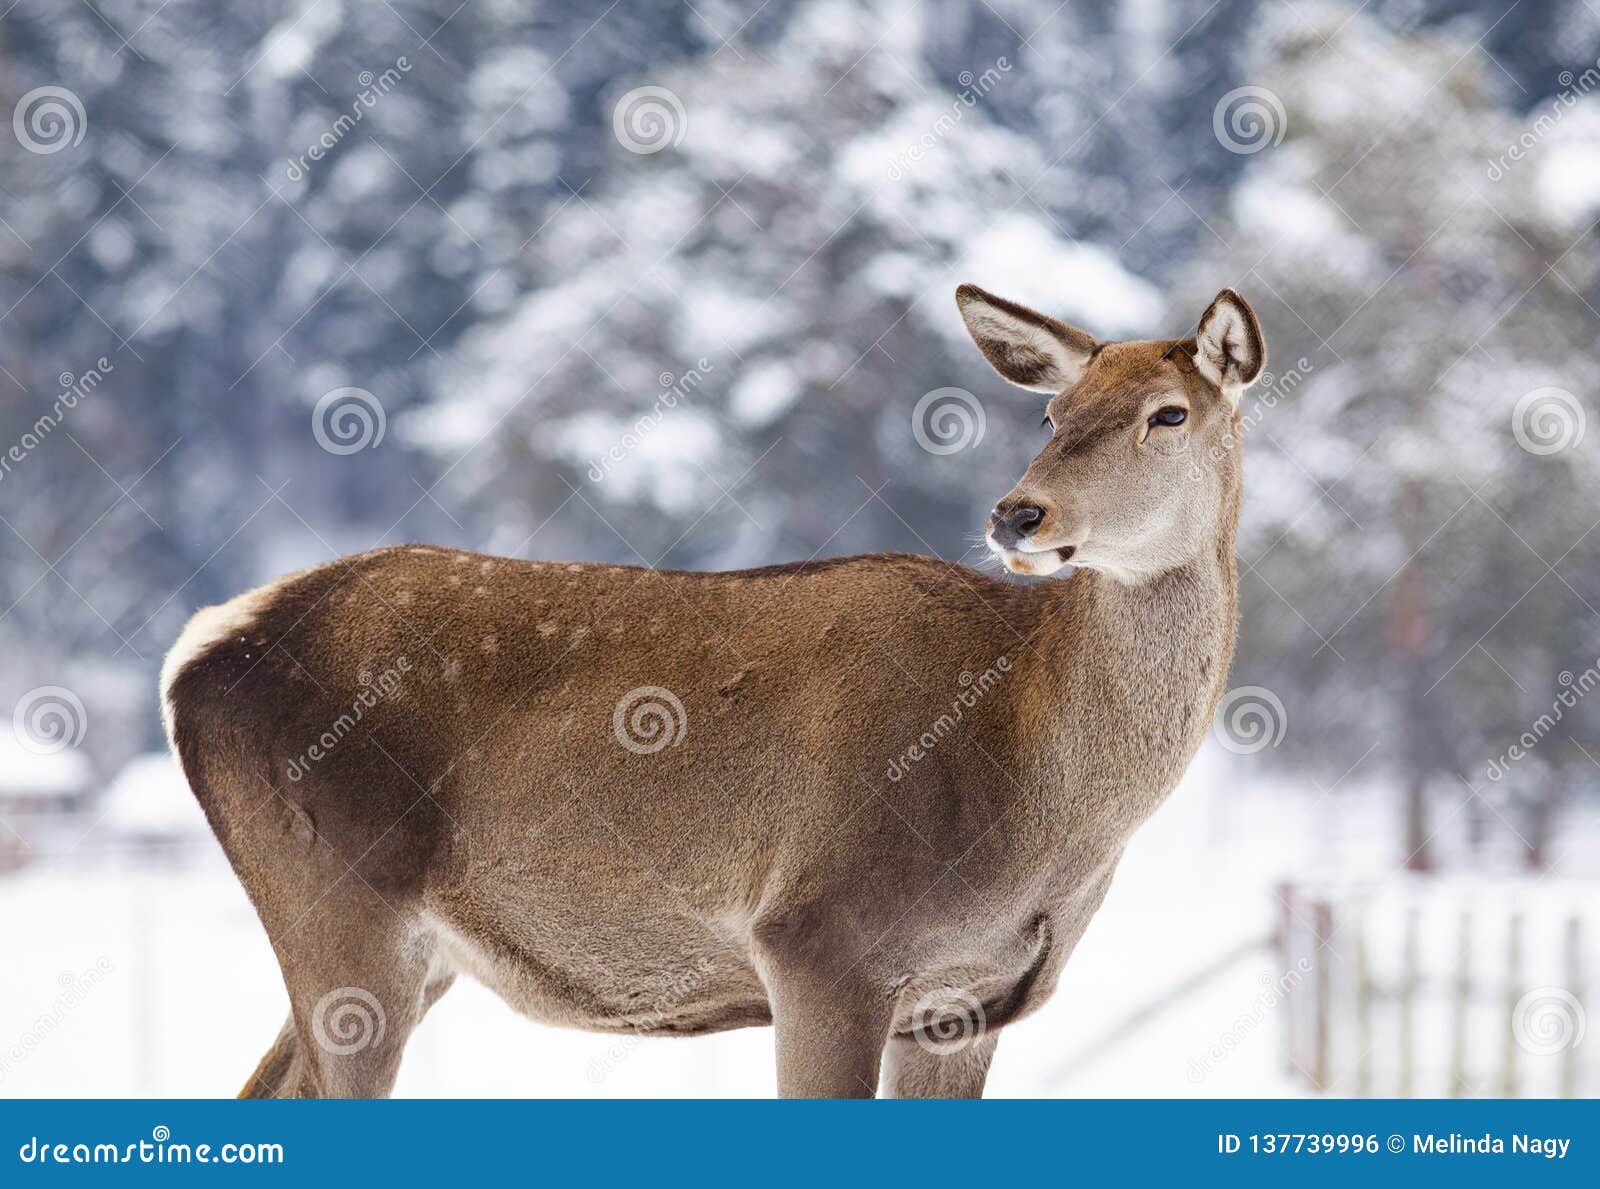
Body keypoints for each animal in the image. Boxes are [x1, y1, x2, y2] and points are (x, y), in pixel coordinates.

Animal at [160, 284, 1265, 1098]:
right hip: (341, 900)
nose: (1017, 513)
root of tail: (199, 651)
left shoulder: (967, 1005)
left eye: (1168, 413)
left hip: (411, 948)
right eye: (1051, 412)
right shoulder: (819, 939)